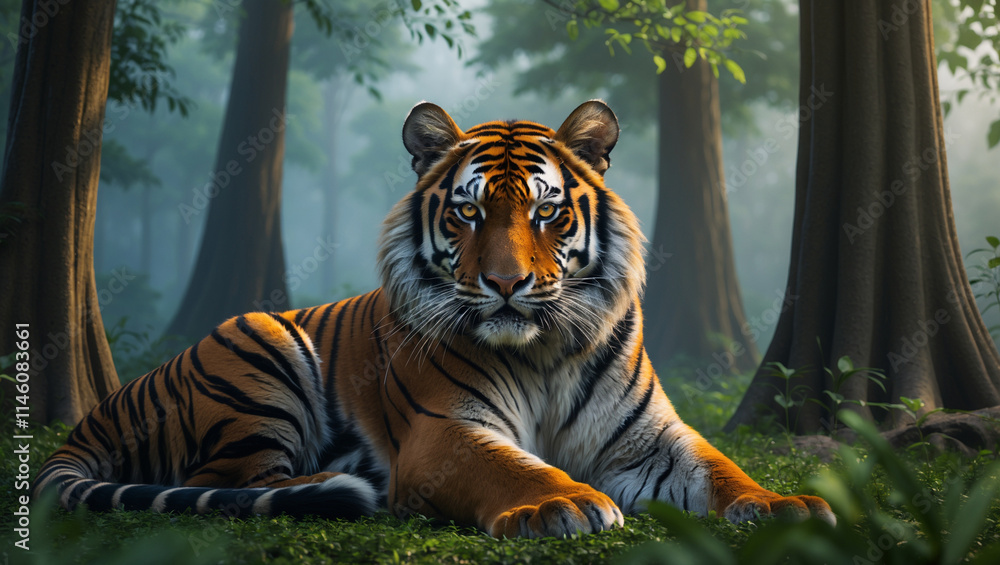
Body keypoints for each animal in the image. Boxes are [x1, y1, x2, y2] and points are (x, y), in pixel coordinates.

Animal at [34, 100, 835, 538]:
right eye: (468, 212)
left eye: (546, 212)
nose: (506, 283)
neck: (546, 351)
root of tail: (101, 408)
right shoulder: (444, 431)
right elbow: (511, 466)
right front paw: (566, 501)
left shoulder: (649, 439)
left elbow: (721, 468)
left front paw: (785, 505)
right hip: (258, 348)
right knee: (235, 481)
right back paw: (348, 485)